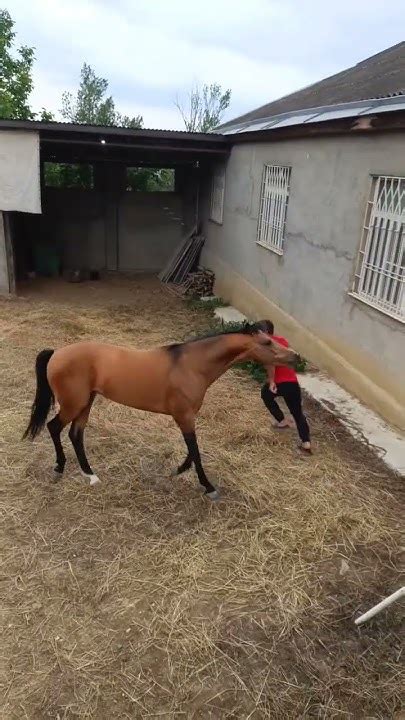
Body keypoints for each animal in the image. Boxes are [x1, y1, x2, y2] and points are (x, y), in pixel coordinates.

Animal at [23, 321, 300, 500]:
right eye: (266, 342)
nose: (294, 356)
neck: (191, 365)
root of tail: (56, 353)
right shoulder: (184, 417)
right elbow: (195, 451)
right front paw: (208, 487)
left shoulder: (187, 417)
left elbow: (191, 450)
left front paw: (178, 471)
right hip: (74, 404)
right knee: (54, 428)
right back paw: (59, 469)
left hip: (85, 403)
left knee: (75, 435)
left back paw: (90, 475)